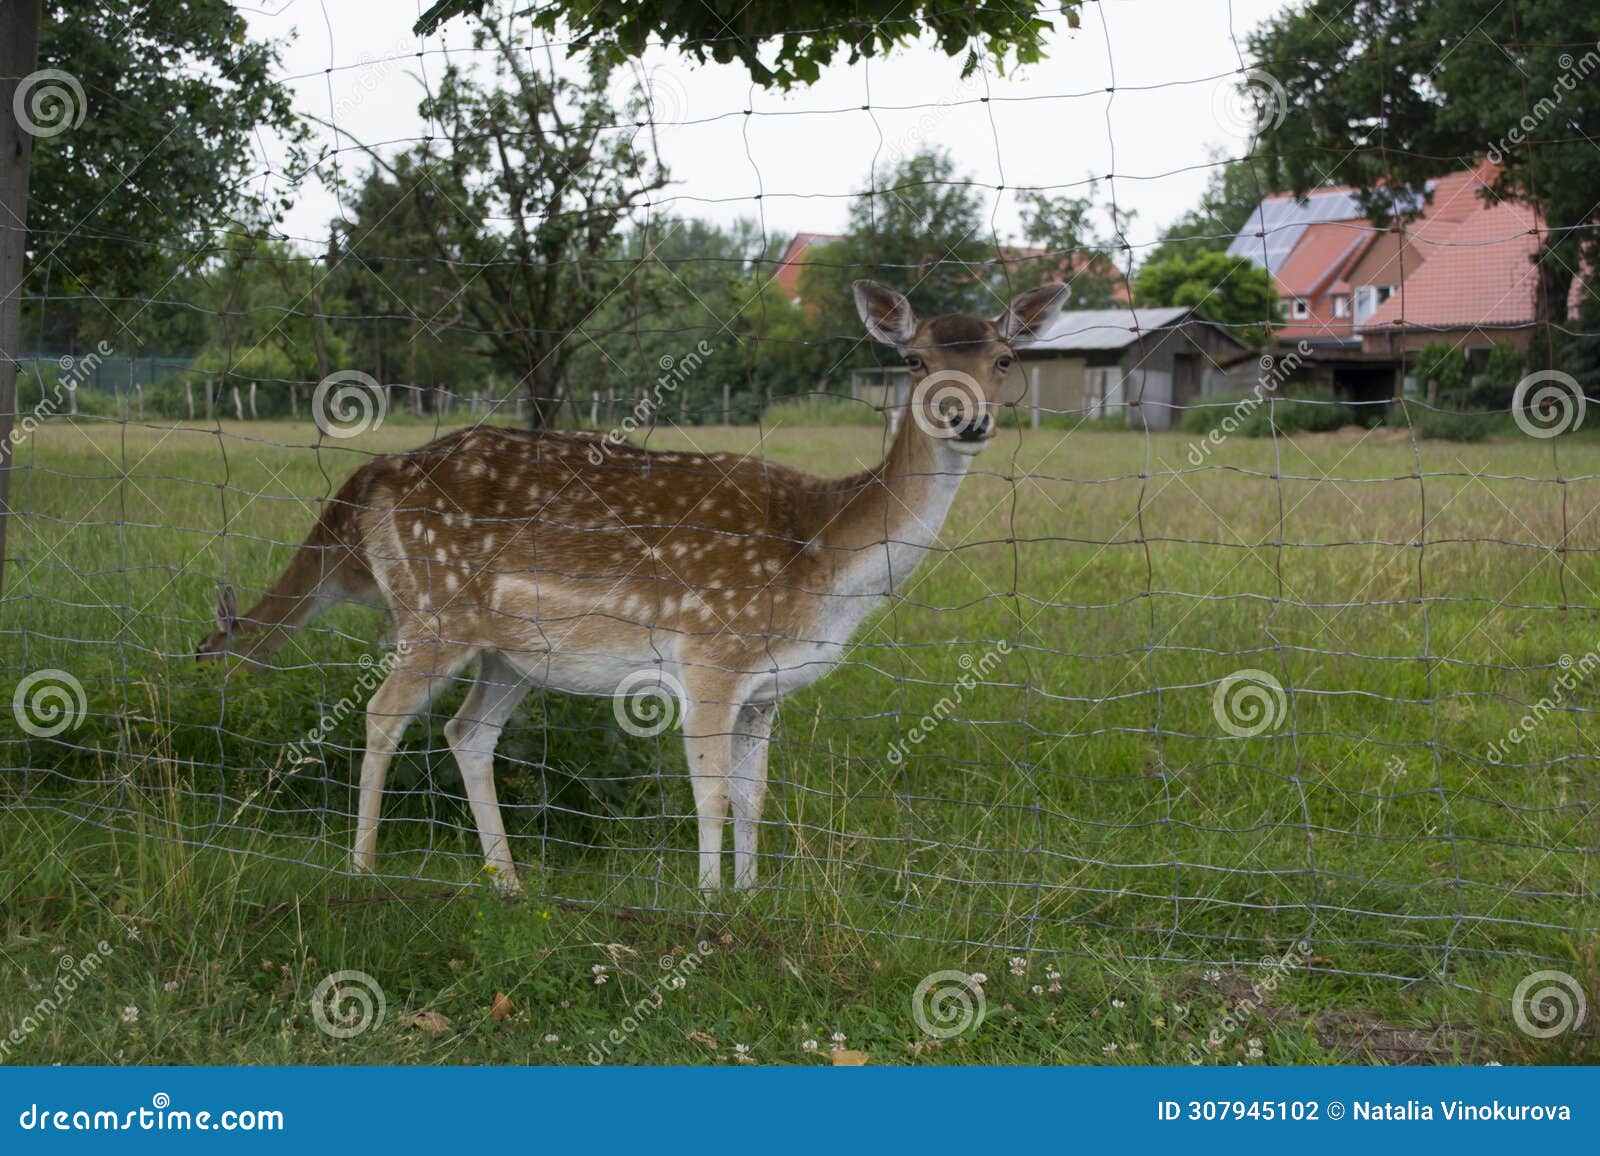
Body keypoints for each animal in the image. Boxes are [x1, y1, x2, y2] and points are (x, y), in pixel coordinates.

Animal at [195, 280, 1066, 894]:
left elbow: (753, 797)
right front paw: (711, 903)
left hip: (511, 652)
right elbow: (710, 794)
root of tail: (370, 476)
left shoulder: (768, 689)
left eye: (1005, 360)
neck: (823, 568)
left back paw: (507, 880)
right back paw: (364, 865)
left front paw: (752, 894)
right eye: (914, 360)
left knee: (466, 732)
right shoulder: (710, 653)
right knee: (382, 714)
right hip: (433, 609)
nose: (969, 420)